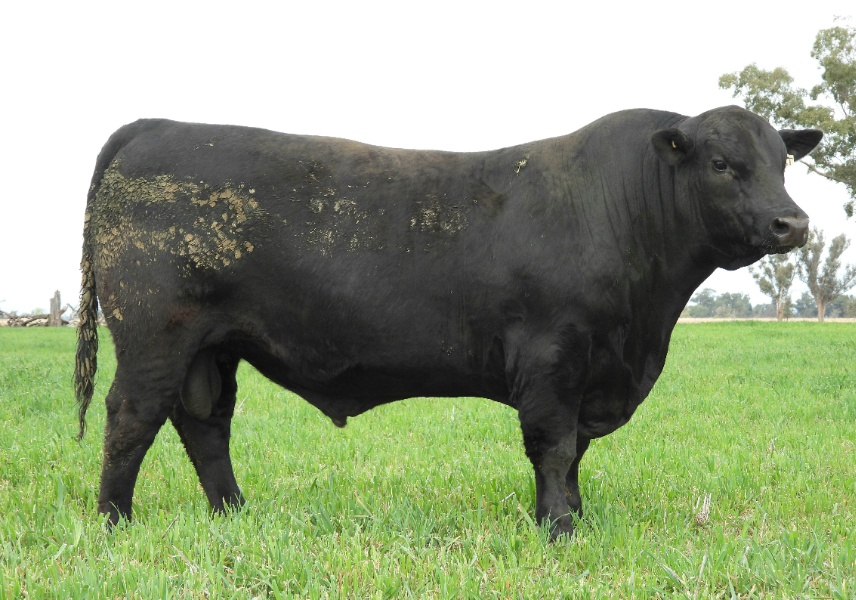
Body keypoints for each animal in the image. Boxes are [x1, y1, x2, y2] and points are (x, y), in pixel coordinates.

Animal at [75, 106, 822, 538]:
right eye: (722, 164)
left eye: (783, 162)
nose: (792, 222)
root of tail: (155, 125)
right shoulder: (552, 357)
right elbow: (553, 447)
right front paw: (558, 530)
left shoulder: (592, 371)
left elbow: (575, 453)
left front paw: (573, 516)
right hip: (155, 335)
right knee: (131, 418)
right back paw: (115, 523)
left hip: (212, 346)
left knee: (204, 423)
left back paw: (232, 512)